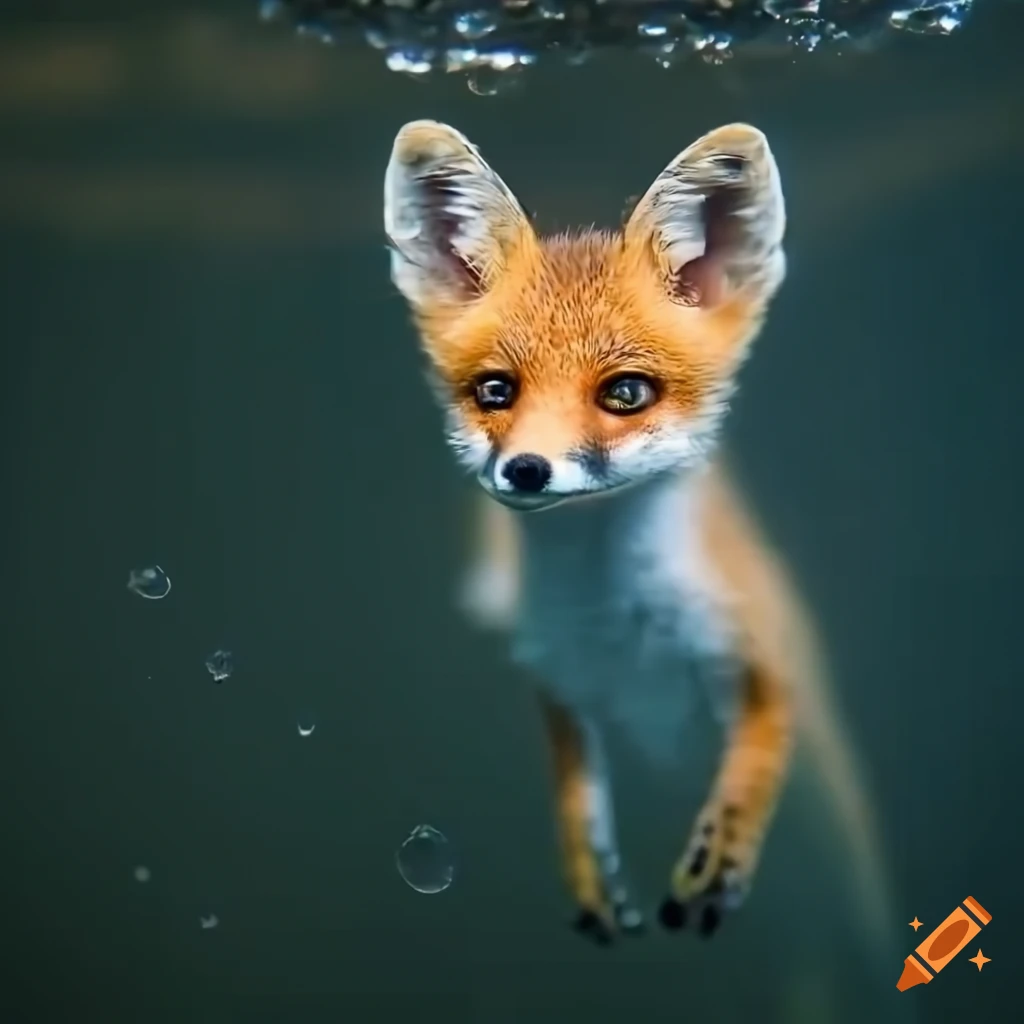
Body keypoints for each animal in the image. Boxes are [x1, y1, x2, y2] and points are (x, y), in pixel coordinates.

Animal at [382, 120, 889, 945]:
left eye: (625, 393)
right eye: (496, 391)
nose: (527, 470)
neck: (617, 630)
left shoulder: (764, 651)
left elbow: (758, 758)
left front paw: (720, 859)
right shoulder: (562, 683)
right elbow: (574, 792)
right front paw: (588, 870)